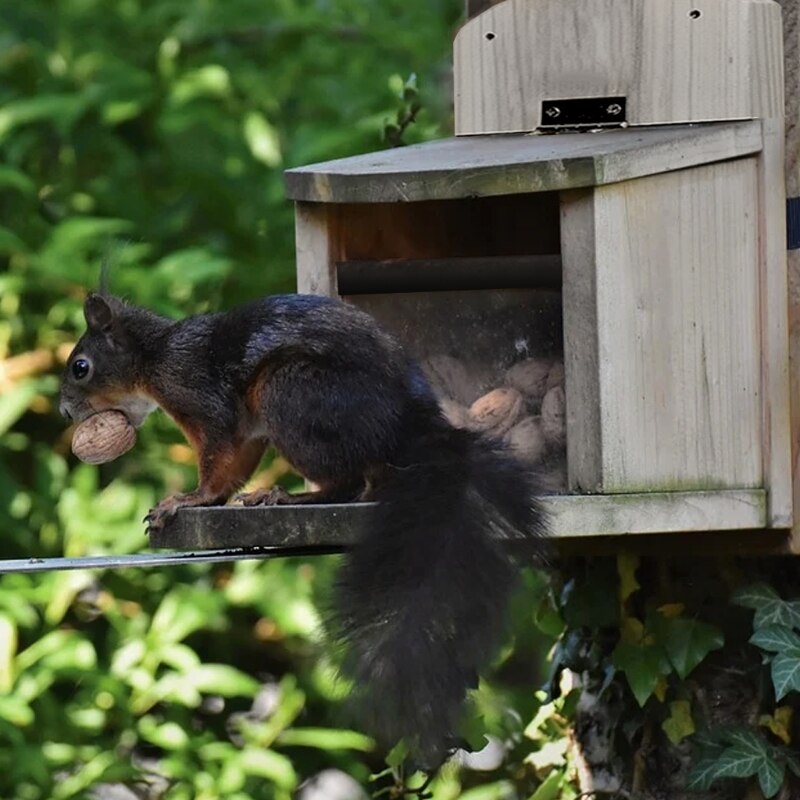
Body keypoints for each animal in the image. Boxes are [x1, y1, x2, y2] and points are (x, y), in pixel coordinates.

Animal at [59, 290, 548, 767]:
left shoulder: (201, 397)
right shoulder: (246, 433)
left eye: (81, 367)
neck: (155, 356)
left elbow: (217, 457)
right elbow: (236, 465)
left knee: (348, 483)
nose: (64, 412)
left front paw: (187, 500)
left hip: (291, 393)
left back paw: (289, 497)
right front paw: (208, 499)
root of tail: (412, 424)